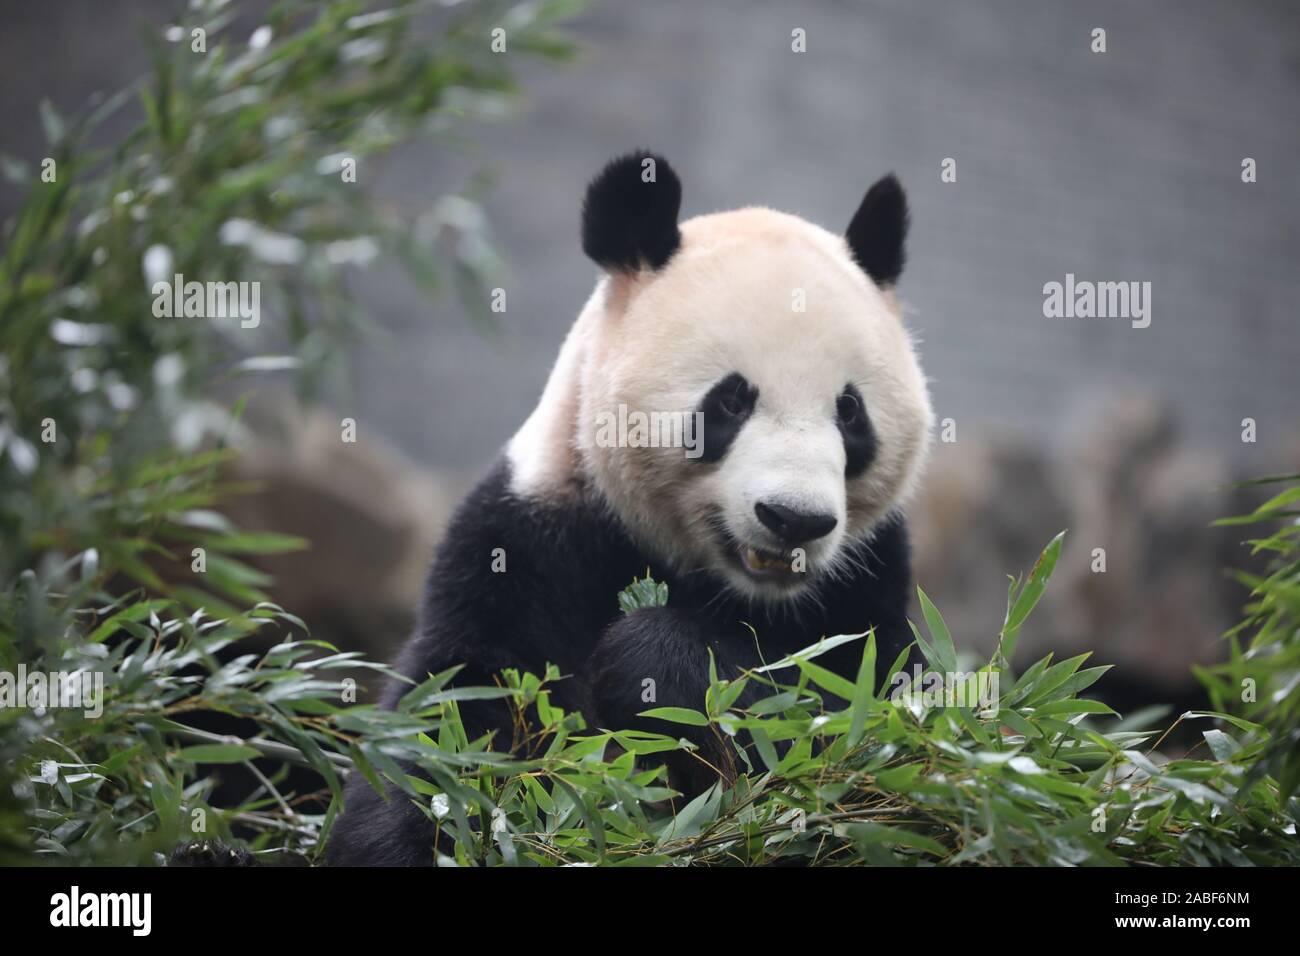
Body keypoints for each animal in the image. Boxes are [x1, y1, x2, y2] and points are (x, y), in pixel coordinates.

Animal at [326, 150, 934, 866]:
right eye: (731, 400)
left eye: (850, 410)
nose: (794, 519)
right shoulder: (526, 547)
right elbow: (453, 726)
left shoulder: (866, 592)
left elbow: (857, 745)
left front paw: (658, 664)